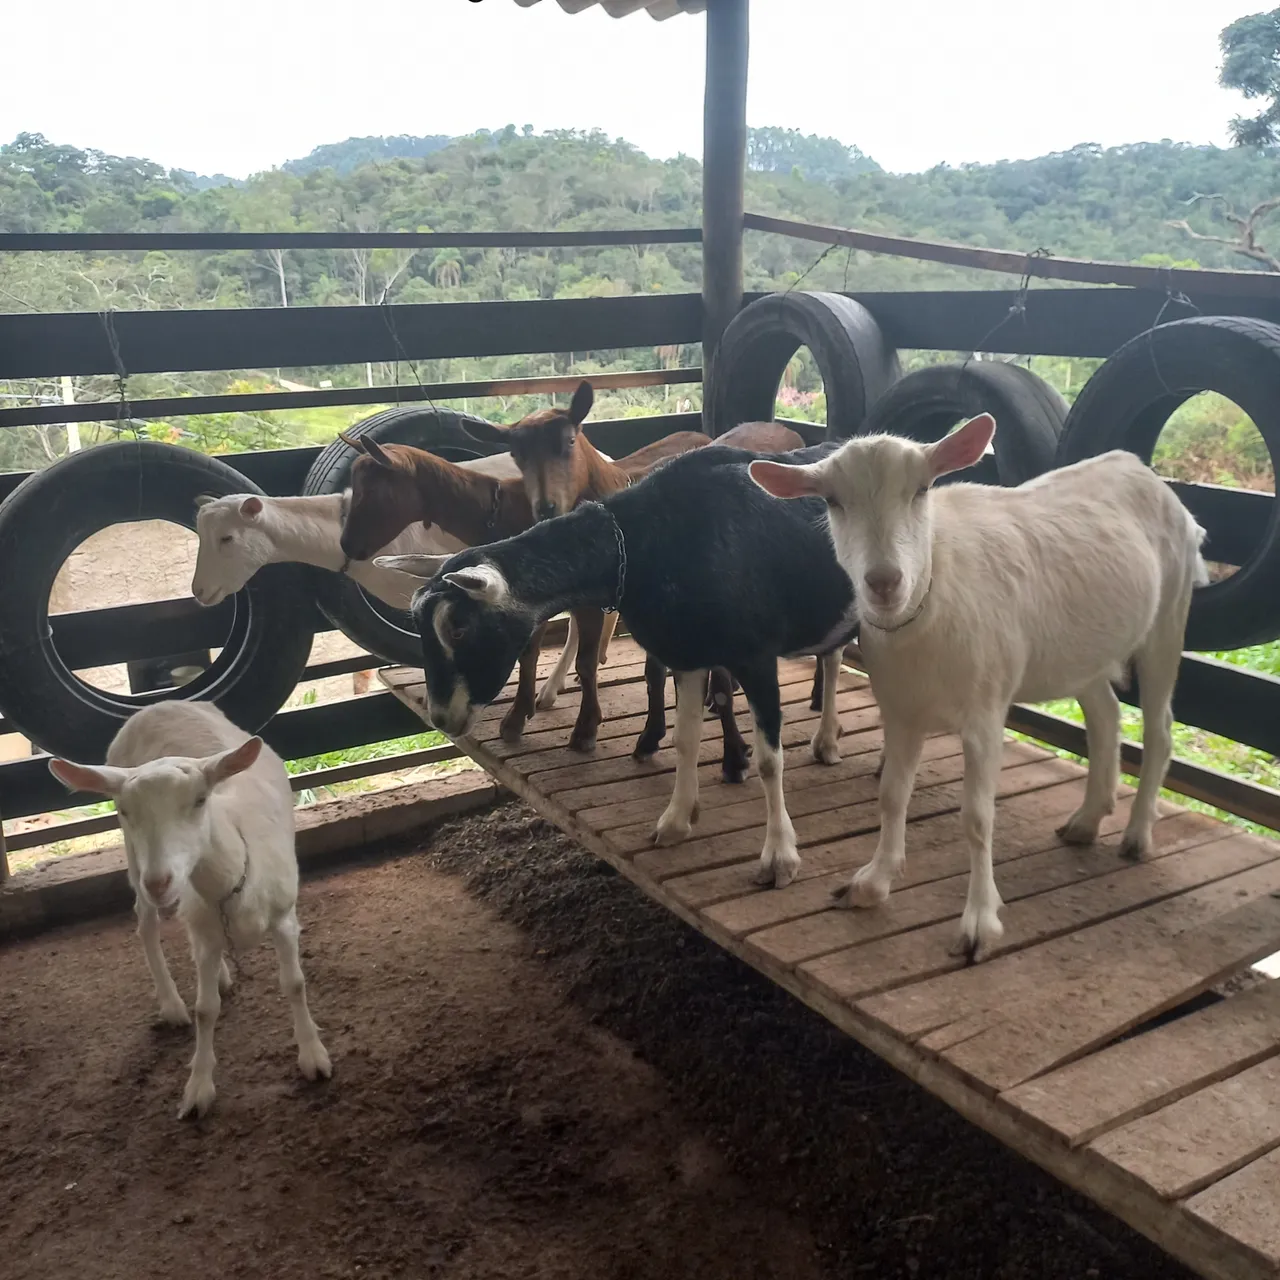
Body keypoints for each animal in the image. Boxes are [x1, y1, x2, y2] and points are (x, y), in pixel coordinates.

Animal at [49, 701, 330, 1118]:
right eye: (125, 809)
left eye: (199, 800)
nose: (159, 882)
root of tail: (157, 703)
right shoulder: (201, 926)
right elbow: (205, 1009)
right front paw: (198, 1088)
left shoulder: (283, 915)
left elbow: (294, 983)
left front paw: (313, 1056)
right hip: (134, 859)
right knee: (146, 925)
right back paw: (171, 1005)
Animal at [377, 443, 857, 890]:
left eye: (459, 627)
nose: (442, 717)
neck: (647, 542)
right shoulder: (687, 654)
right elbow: (685, 739)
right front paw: (675, 822)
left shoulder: (754, 656)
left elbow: (769, 761)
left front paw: (779, 858)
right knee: (834, 654)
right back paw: (827, 740)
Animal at [460, 382, 811, 781]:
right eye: (516, 454)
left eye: (569, 441)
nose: (546, 507)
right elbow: (551, 654)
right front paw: (519, 719)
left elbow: (595, 662)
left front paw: (586, 730)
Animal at [751, 413, 1207, 960]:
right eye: (833, 501)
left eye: (922, 489)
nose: (884, 582)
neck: (933, 600)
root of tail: (1143, 471)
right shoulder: (901, 710)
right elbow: (891, 795)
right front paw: (872, 883)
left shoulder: (985, 714)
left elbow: (977, 816)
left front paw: (978, 924)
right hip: (1082, 650)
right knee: (1105, 713)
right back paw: (1086, 821)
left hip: (1169, 615)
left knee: (1159, 728)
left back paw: (1136, 835)